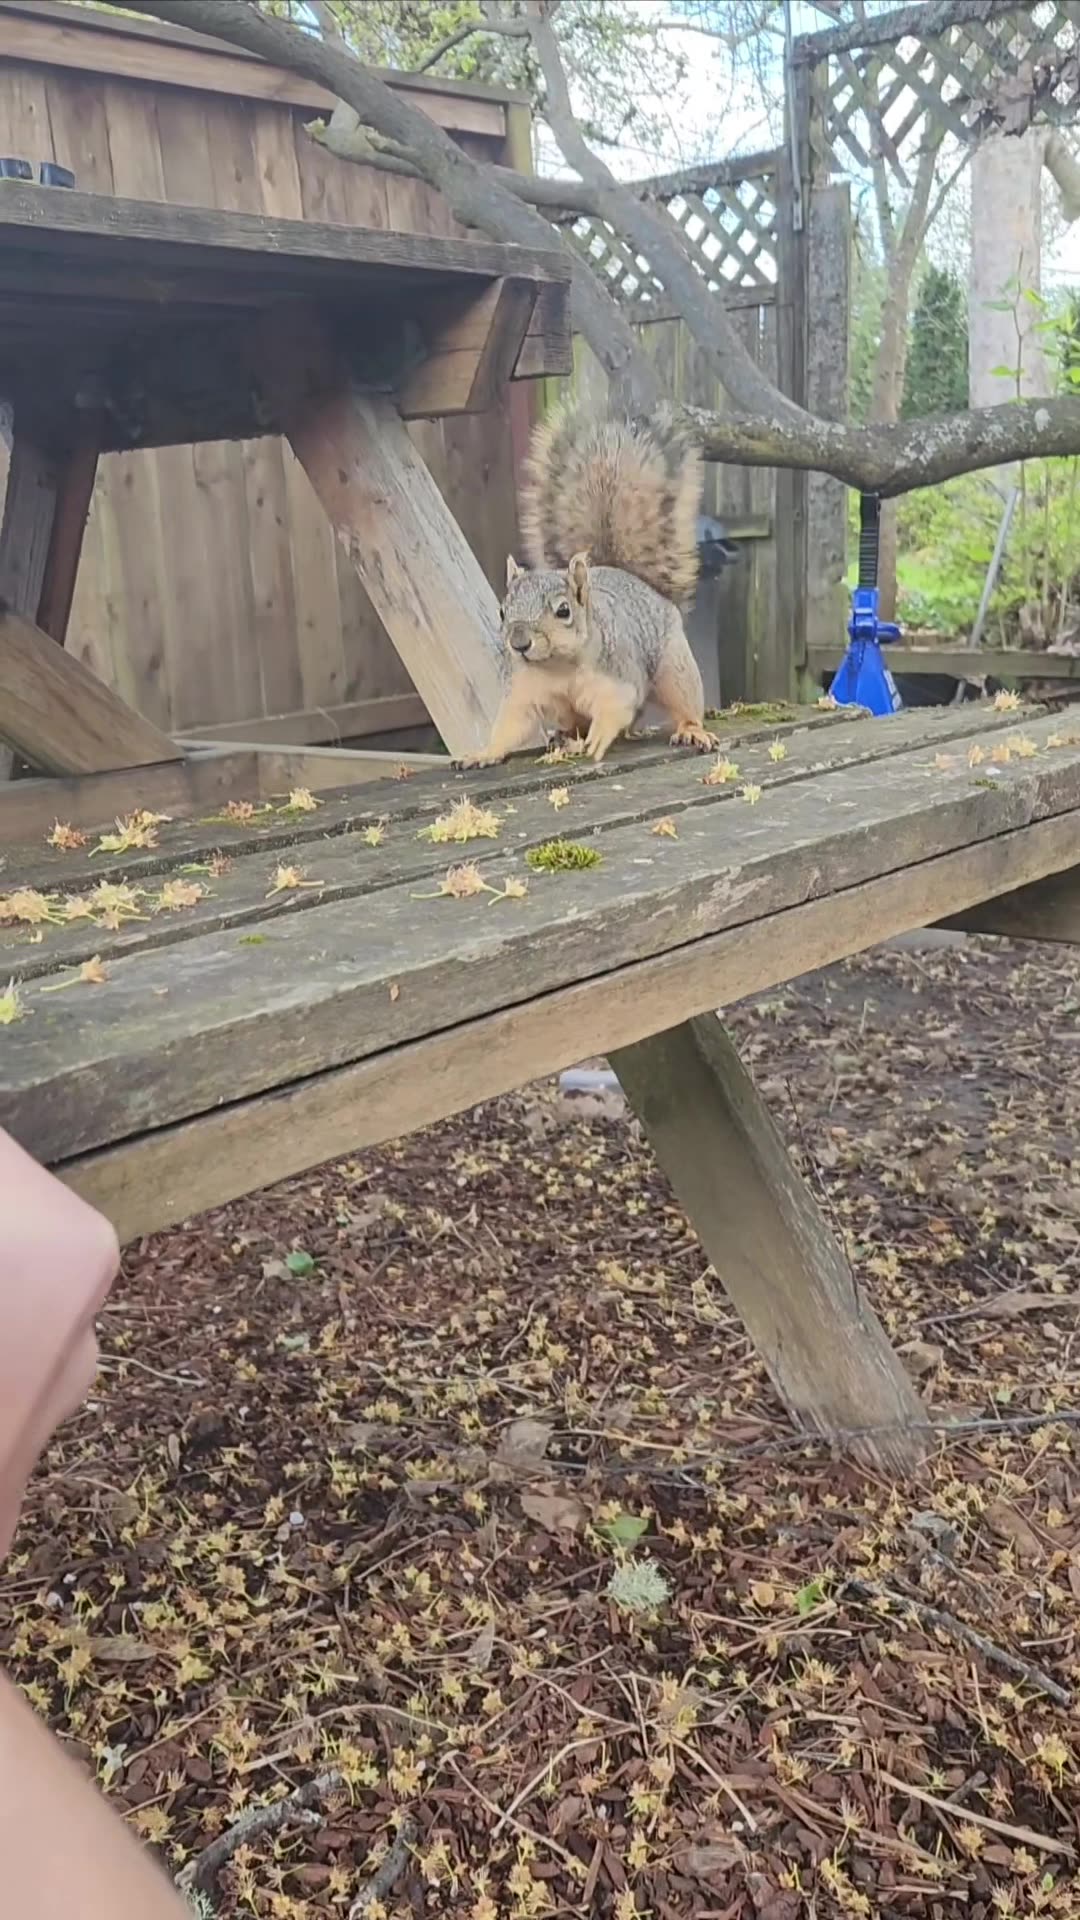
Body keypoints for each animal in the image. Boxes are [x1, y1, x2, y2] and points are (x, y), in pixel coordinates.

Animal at [456, 406, 721, 767]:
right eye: (502, 611)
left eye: (563, 610)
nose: (519, 644)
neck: (558, 667)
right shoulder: (523, 693)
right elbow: (511, 724)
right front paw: (483, 753)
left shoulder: (618, 675)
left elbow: (618, 704)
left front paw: (600, 736)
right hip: (566, 711)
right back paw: (563, 737)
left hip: (675, 666)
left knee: (682, 701)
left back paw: (691, 730)